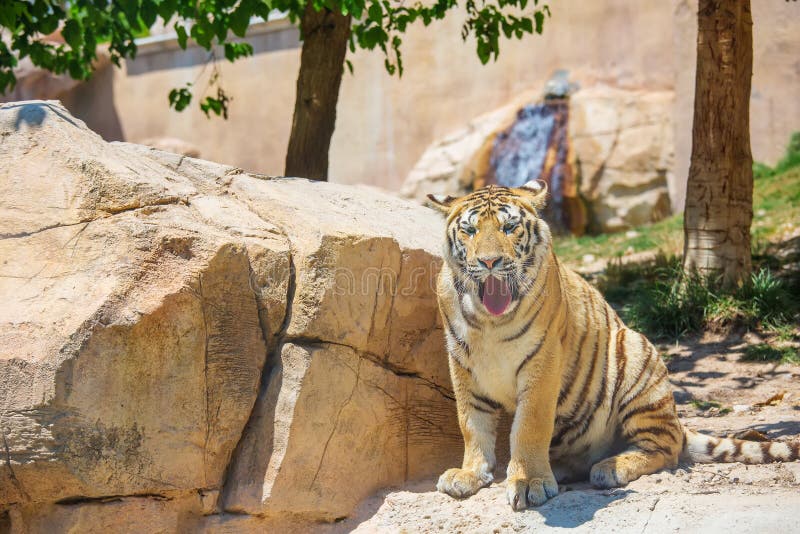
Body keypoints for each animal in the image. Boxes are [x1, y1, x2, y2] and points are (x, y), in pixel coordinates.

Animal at [427, 181, 800, 511]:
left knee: (666, 448)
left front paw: (529, 482)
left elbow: (530, 426)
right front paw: (470, 474)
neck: (489, 322)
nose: (489, 262)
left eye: (509, 227)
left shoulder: (543, 361)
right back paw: (563, 468)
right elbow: (471, 423)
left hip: (636, 354)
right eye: (470, 231)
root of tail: (677, 421)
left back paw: (610, 468)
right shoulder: (462, 365)